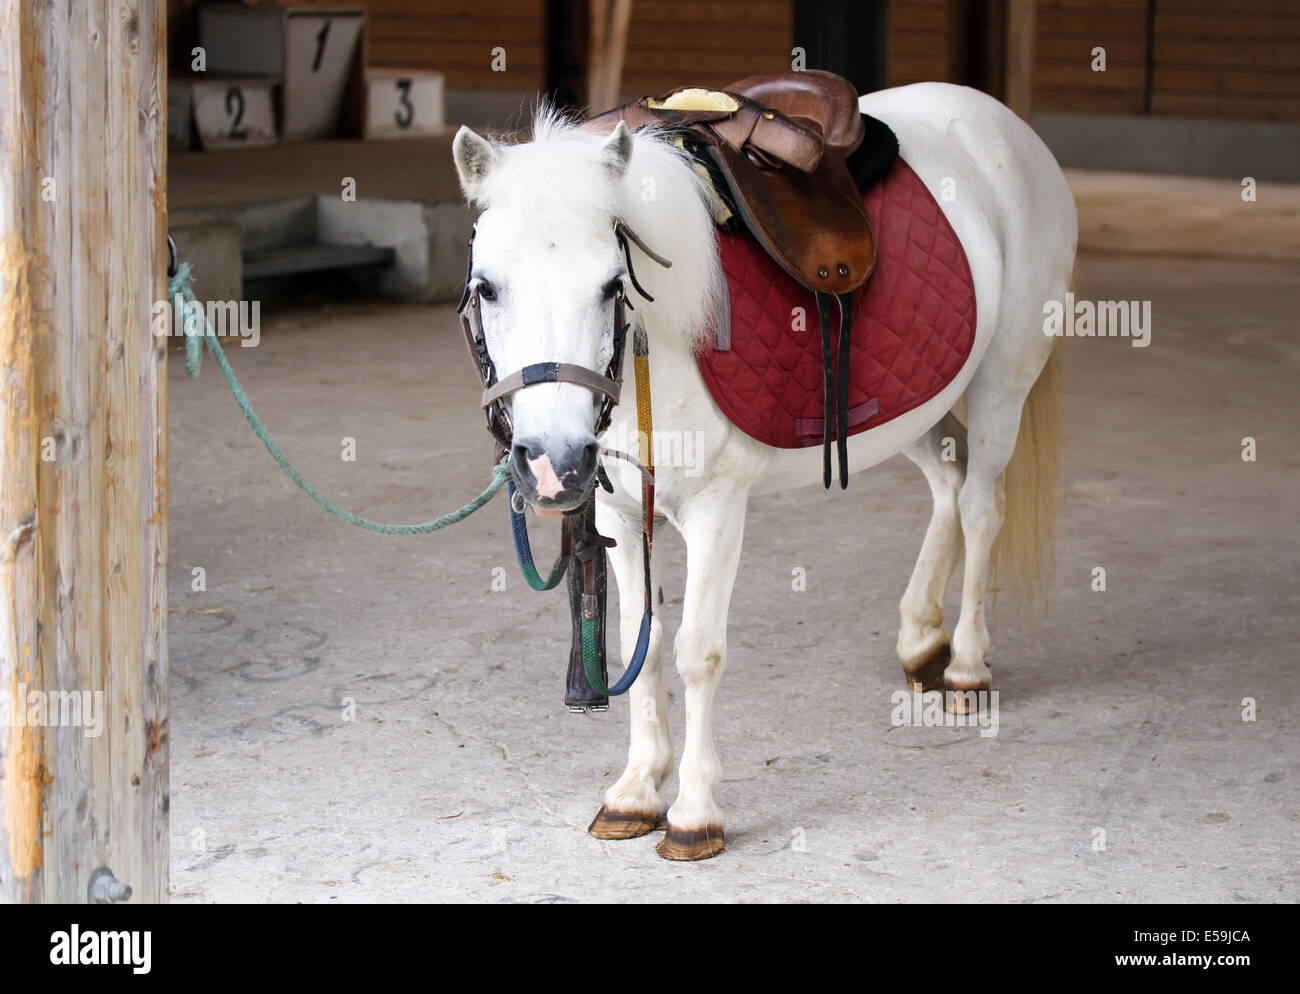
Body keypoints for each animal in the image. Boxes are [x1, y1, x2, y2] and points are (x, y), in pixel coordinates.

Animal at [451, 80, 1075, 861]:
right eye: (487, 287)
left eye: (609, 284)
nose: (551, 463)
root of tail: (1003, 124)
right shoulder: (618, 511)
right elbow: (638, 645)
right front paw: (635, 792)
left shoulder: (717, 508)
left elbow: (697, 654)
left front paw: (694, 813)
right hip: (917, 407)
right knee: (949, 485)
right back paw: (920, 638)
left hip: (1001, 382)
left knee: (981, 507)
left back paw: (965, 664)